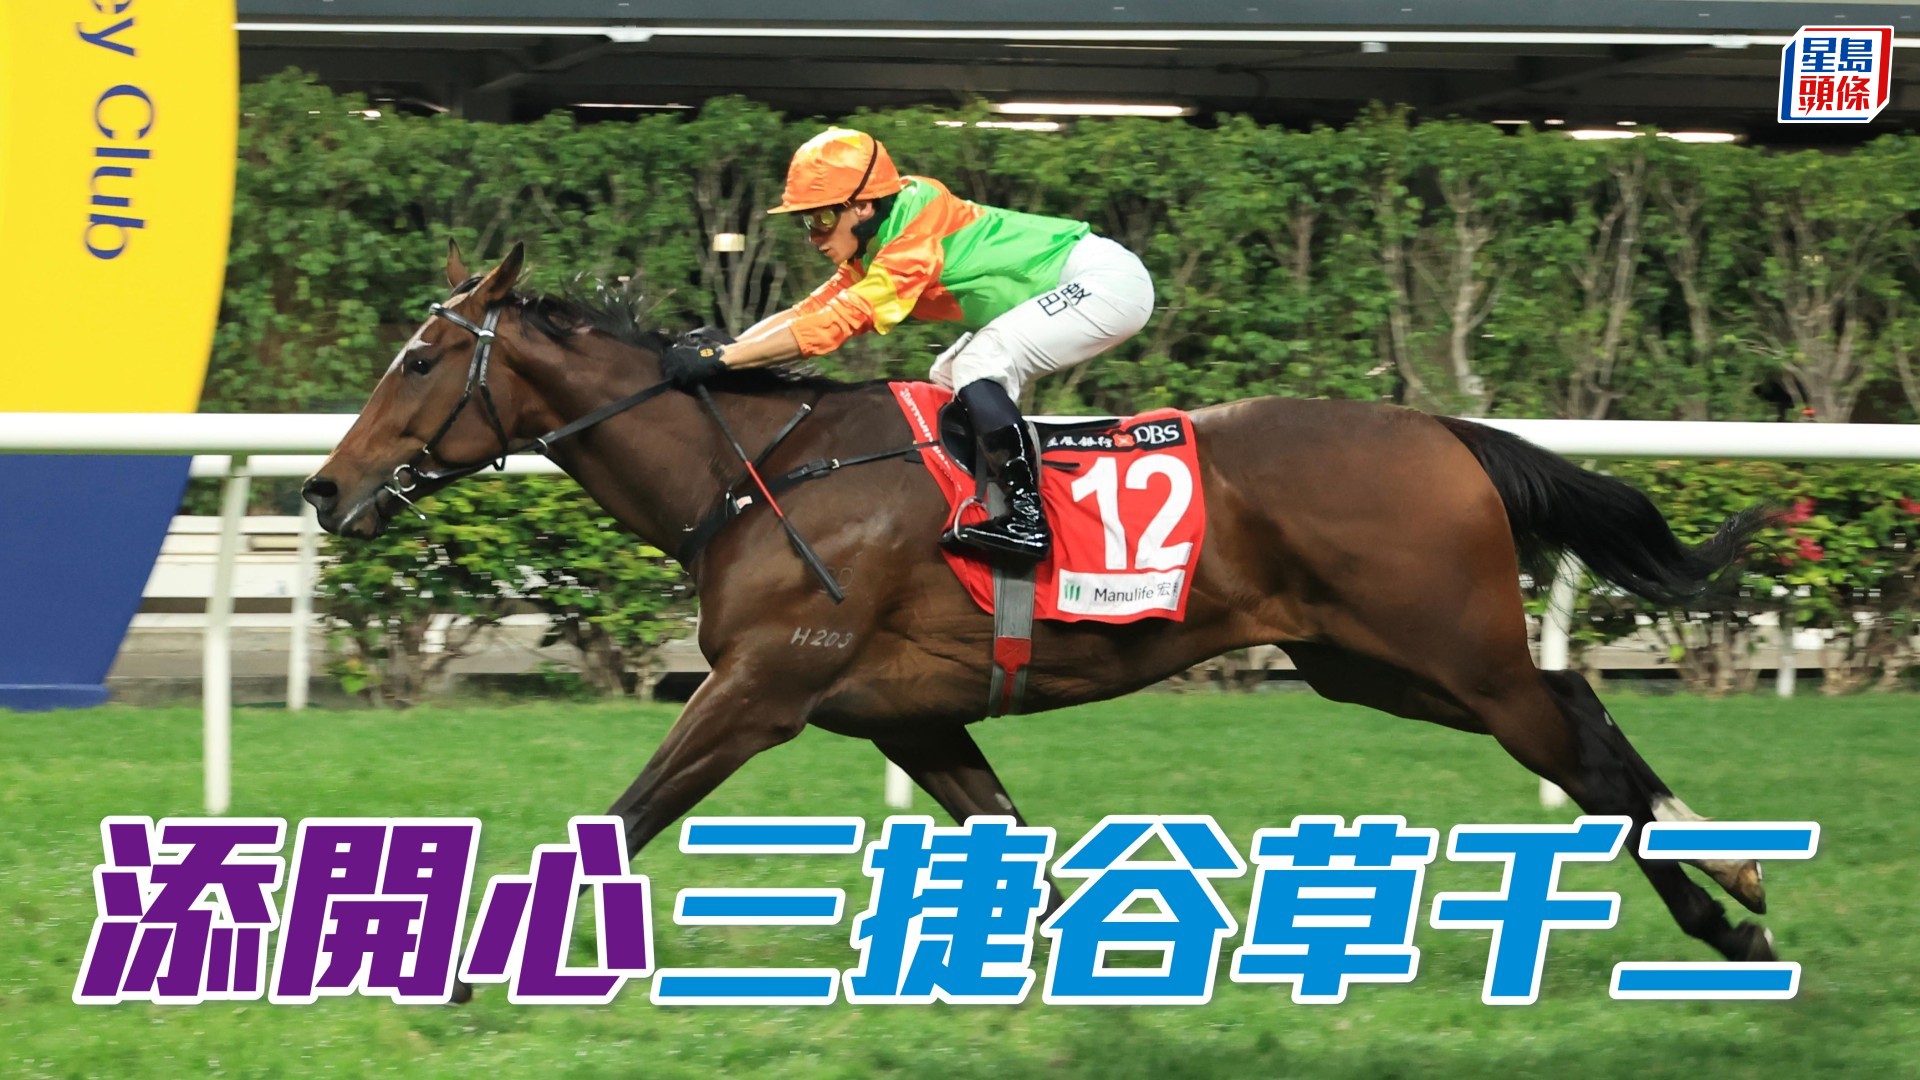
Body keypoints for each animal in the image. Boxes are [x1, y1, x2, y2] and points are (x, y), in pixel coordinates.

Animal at [304, 242, 1781, 964]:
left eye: (421, 358)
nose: (324, 490)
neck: (758, 473)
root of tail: (1441, 432)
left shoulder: (764, 687)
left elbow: (618, 820)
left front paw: (471, 960)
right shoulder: (904, 716)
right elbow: (1020, 850)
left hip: (1448, 650)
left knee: (1580, 741)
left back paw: (1734, 896)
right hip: (1374, 662)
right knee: (1579, 714)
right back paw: (1726, 889)